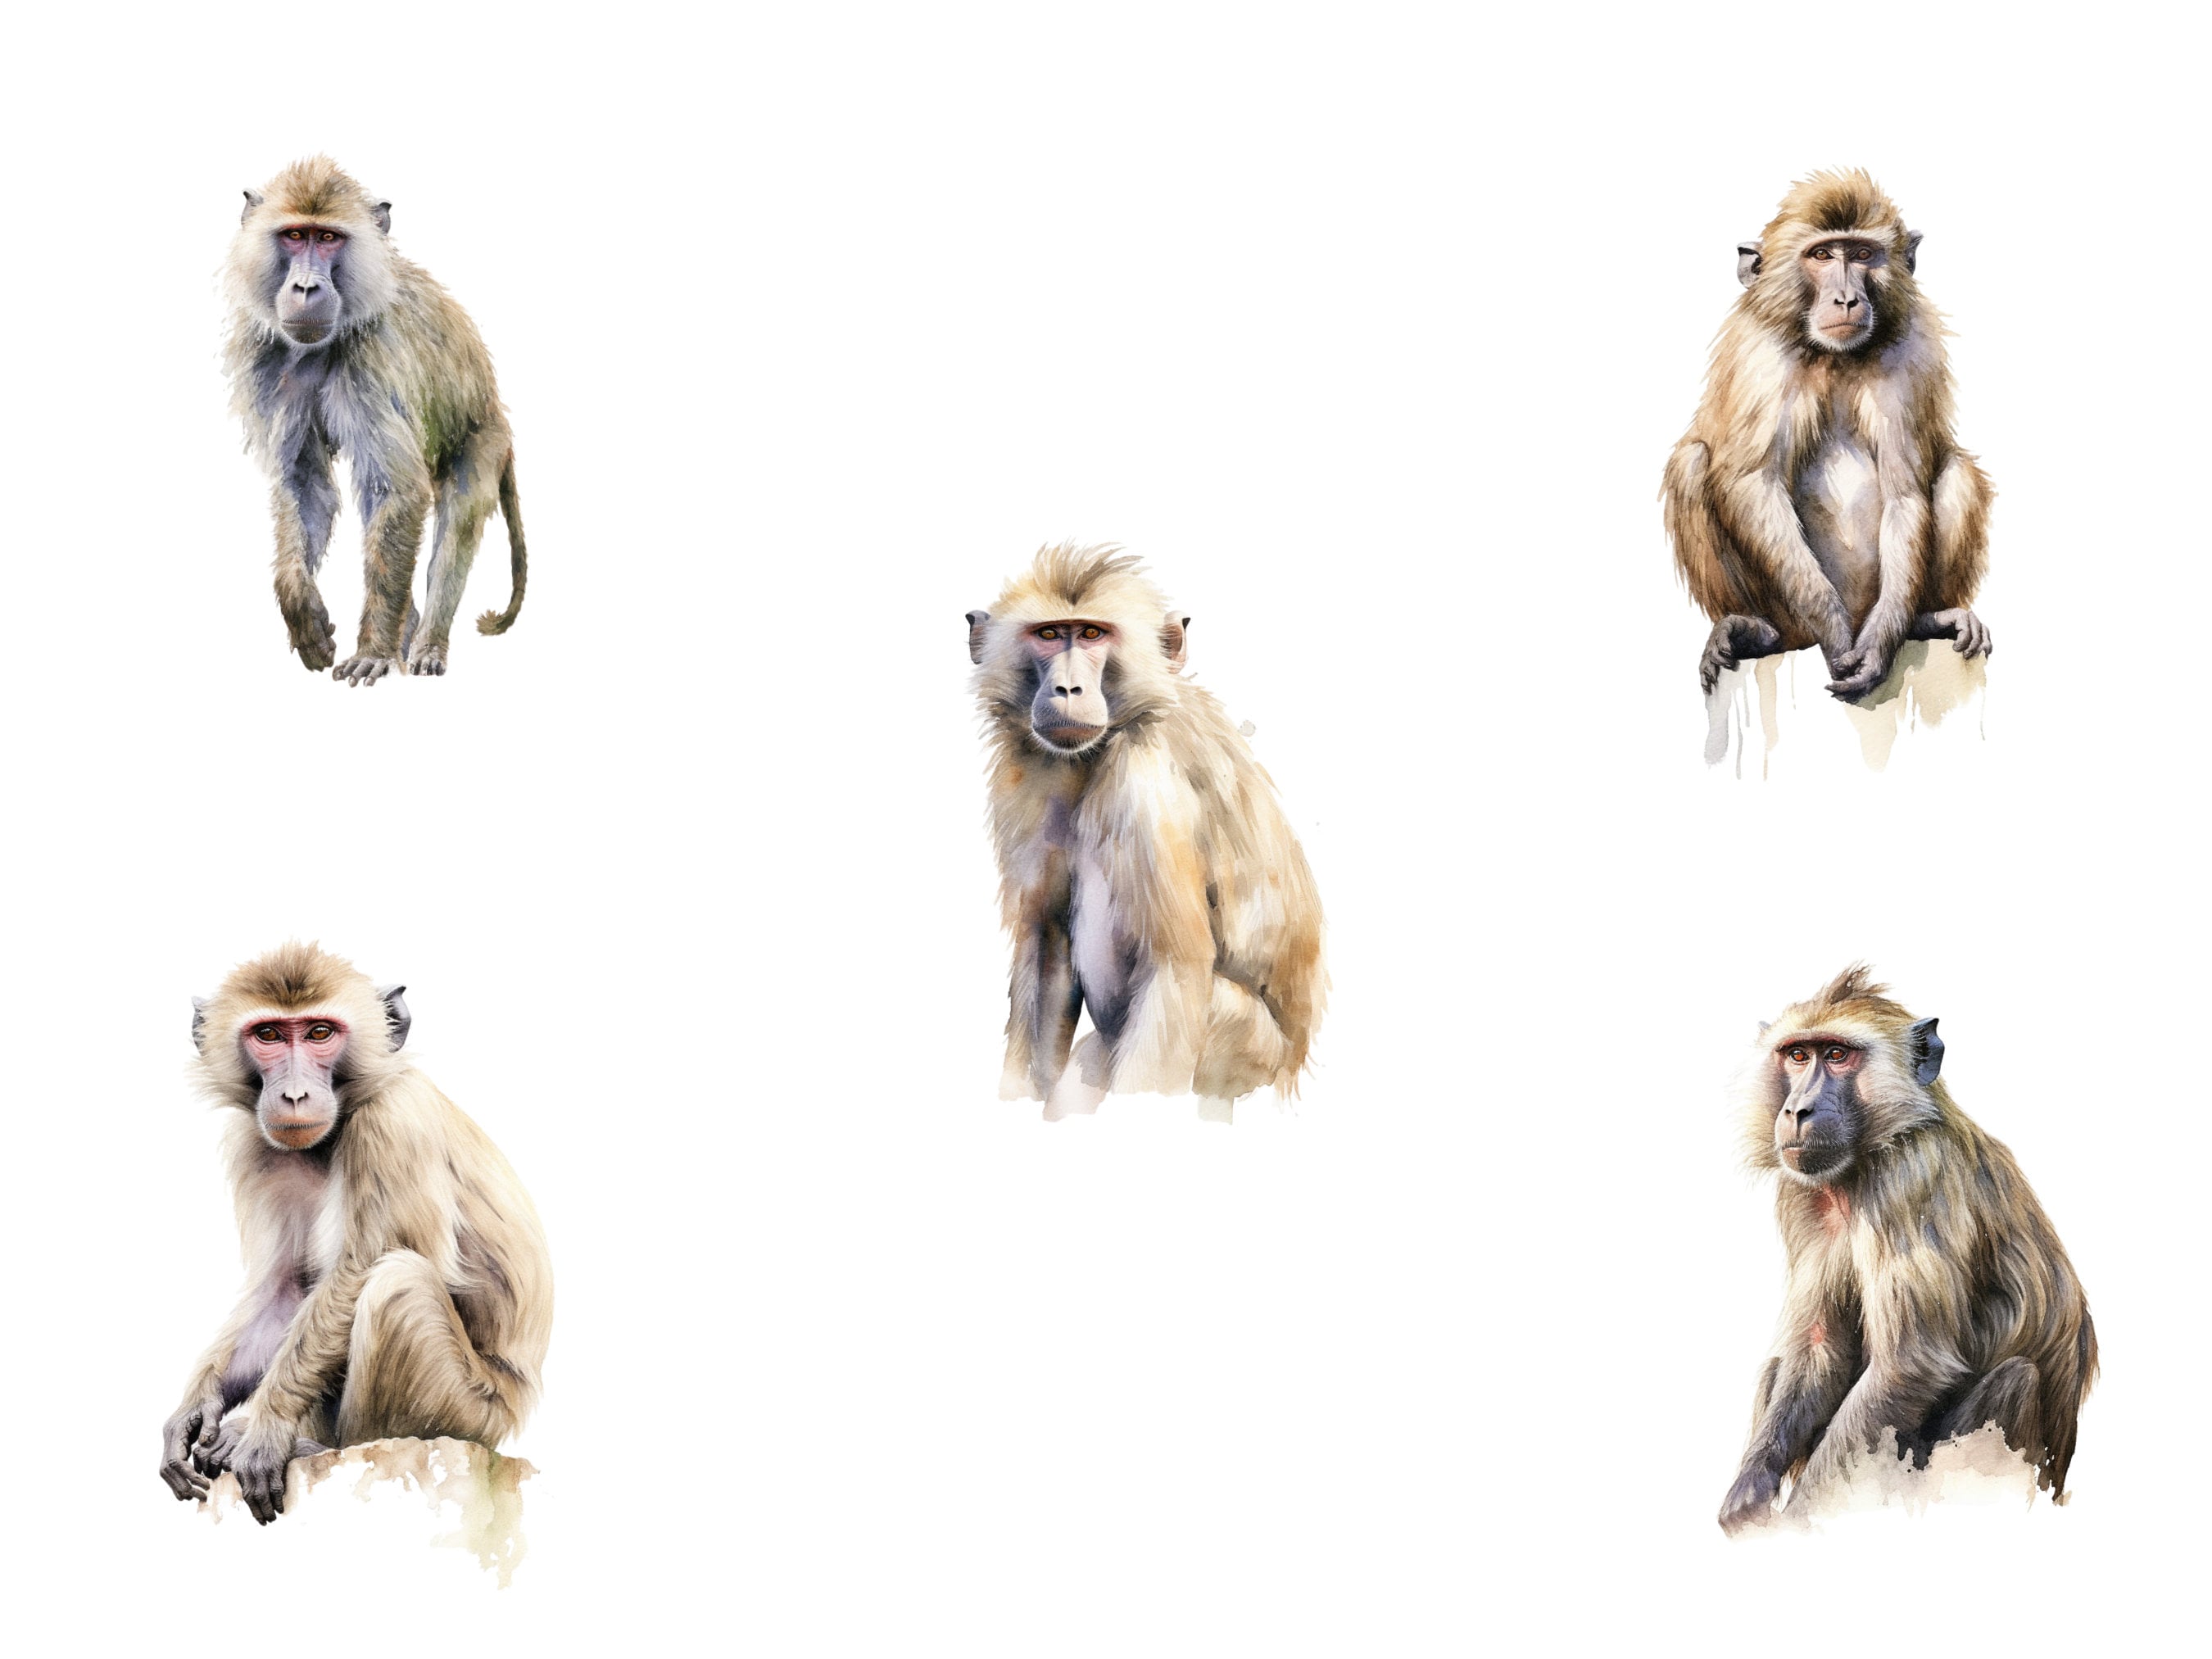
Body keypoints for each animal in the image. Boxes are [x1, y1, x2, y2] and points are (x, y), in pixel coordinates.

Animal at [158, 943, 552, 1525]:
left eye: (320, 1033)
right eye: (268, 1034)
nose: (295, 1094)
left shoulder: (394, 1122)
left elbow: (361, 1270)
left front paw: (267, 1430)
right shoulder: (258, 1148)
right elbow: (284, 1289)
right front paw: (195, 1411)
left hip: (474, 1414)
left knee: (397, 1284)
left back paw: (326, 1445)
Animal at [223, 157, 526, 685]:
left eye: (328, 238)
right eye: (295, 235)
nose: (306, 288)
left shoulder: (373, 358)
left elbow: (398, 490)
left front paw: (373, 651)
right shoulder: (266, 358)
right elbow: (304, 483)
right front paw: (303, 609)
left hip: (484, 437)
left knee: (454, 524)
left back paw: (425, 645)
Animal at [965, 544, 1325, 1124]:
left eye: (1092, 634)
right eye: (1050, 634)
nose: (1068, 688)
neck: (1101, 749)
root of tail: (1291, 1069)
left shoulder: (1147, 783)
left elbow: (1174, 969)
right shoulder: (1031, 778)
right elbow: (1045, 941)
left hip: (1249, 1049)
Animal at [1662, 170, 1993, 702]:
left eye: (1860, 254)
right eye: (1820, 255)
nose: (1847, 299)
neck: (1834, 355)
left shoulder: (1912, 350)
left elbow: (1905, 491)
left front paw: (1877, 647)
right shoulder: (1761, 353)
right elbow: (1753, 482)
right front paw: (1836, 635)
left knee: (1958, 469)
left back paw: (1928, 619)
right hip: (1788, 616)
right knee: (1691, 463)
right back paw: (1752, 629)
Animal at [1718, 967, 2094, 1534]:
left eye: (1837, 1055)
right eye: (1798, 1056)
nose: (1797, 1110)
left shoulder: (1911, 1176)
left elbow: (1907, 1365)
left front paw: (1799, 1521)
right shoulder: (1803, 1195)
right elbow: (1818, 1347)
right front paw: (1747, 1503)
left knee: (2017, 1378)